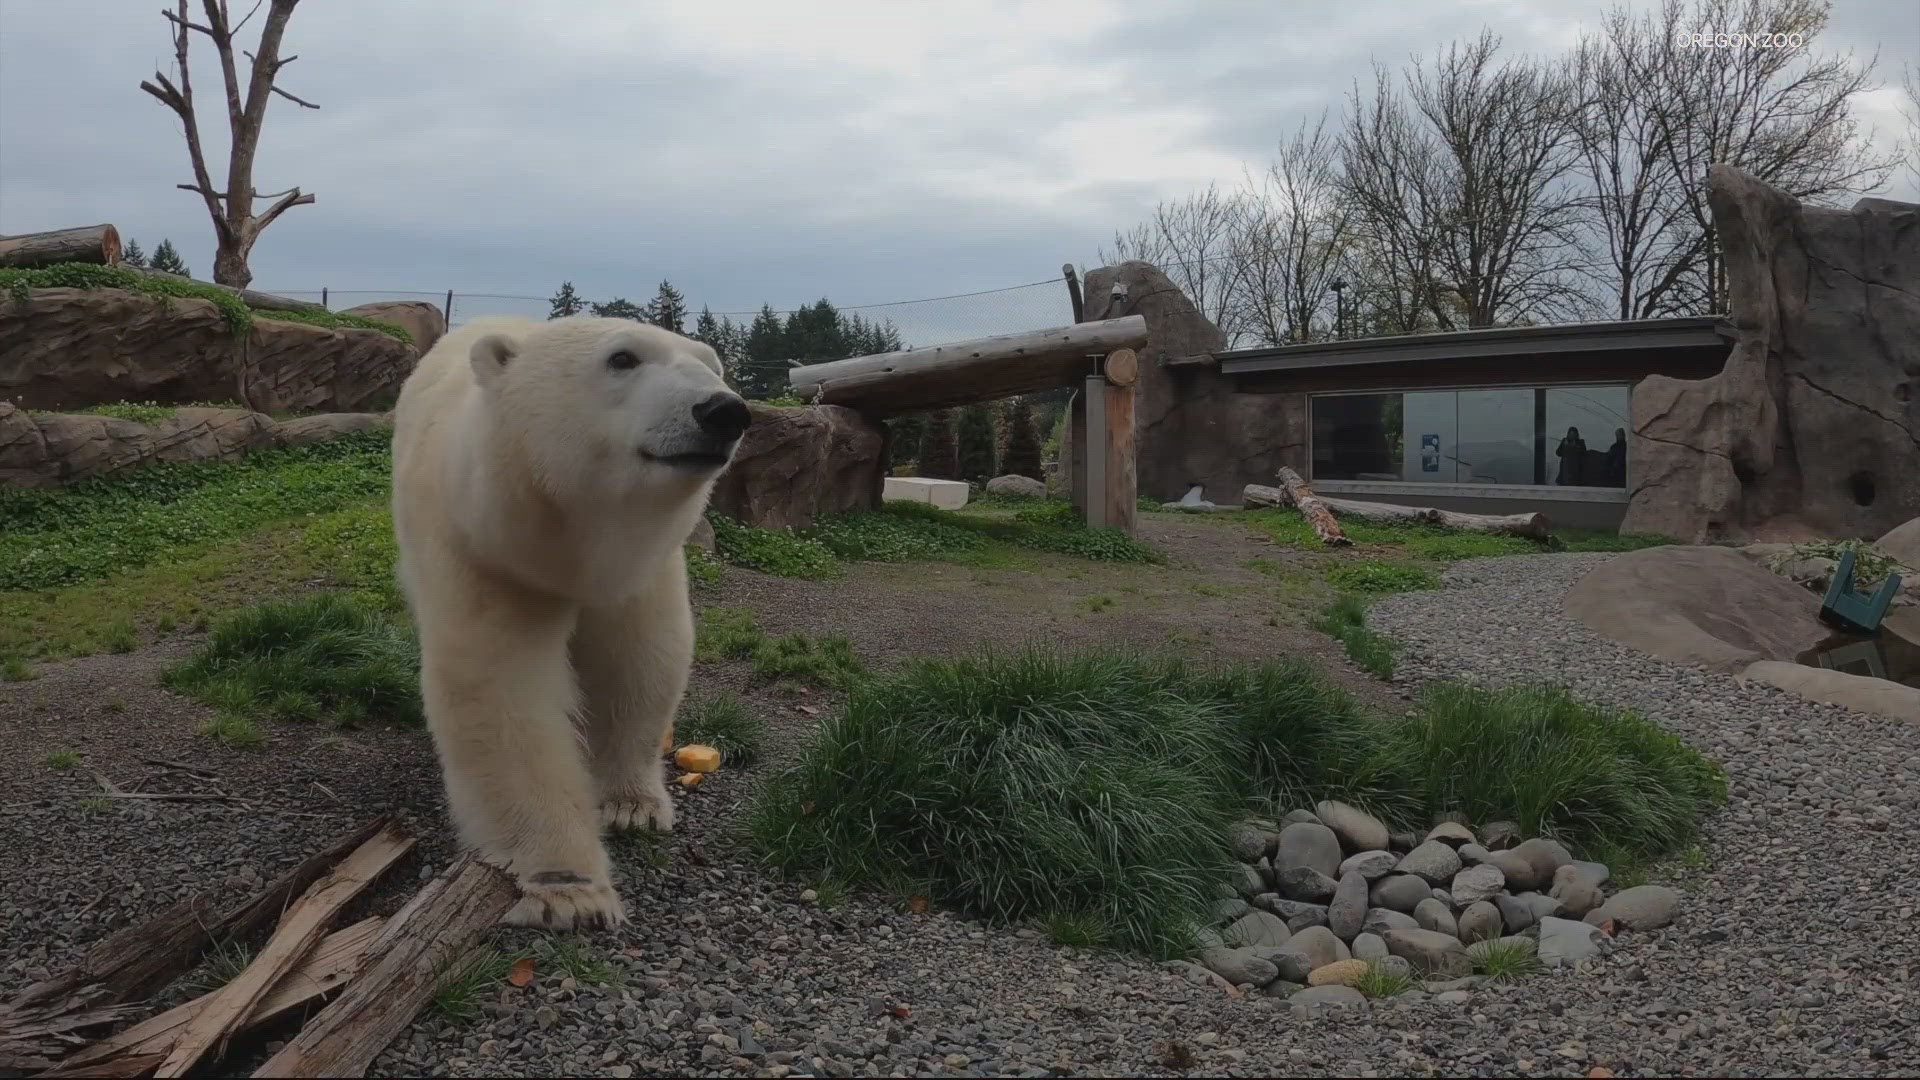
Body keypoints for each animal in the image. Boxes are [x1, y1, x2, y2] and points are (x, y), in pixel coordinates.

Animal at [390, 314, 751, 930]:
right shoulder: (484, 552)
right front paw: (569, 890)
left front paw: (632, 806)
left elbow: (639, 659)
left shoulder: (642, 570)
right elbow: (502, 693)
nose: (723, 410)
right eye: (623, 358)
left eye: (713, 364)